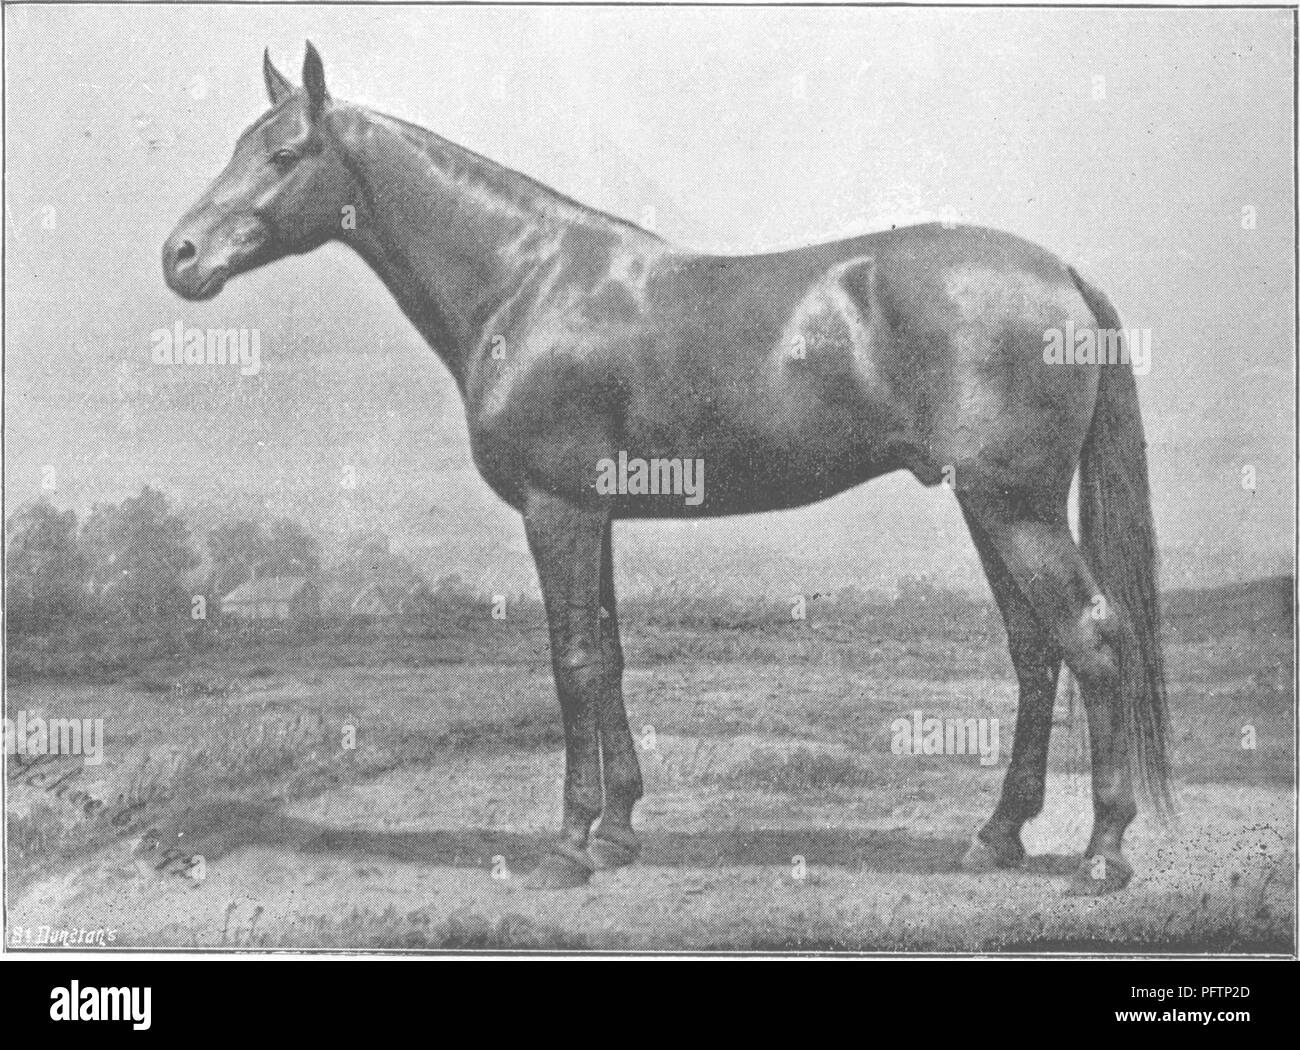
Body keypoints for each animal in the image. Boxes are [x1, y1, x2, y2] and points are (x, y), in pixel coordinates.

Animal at [164, 45, 1172, 893]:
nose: (180, 256)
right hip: (989, 507)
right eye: (239, 145)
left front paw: (568, 847)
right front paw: (617, 832)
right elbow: (608, 657)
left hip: (1016, 509)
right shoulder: (594, 516)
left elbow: (572, 662)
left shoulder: (557, 511)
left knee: (1093, 639)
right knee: (1035, 651)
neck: (528, 282)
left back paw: (1102, 855)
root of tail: (1061, 274)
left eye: (286, 153)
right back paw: (996, 837)